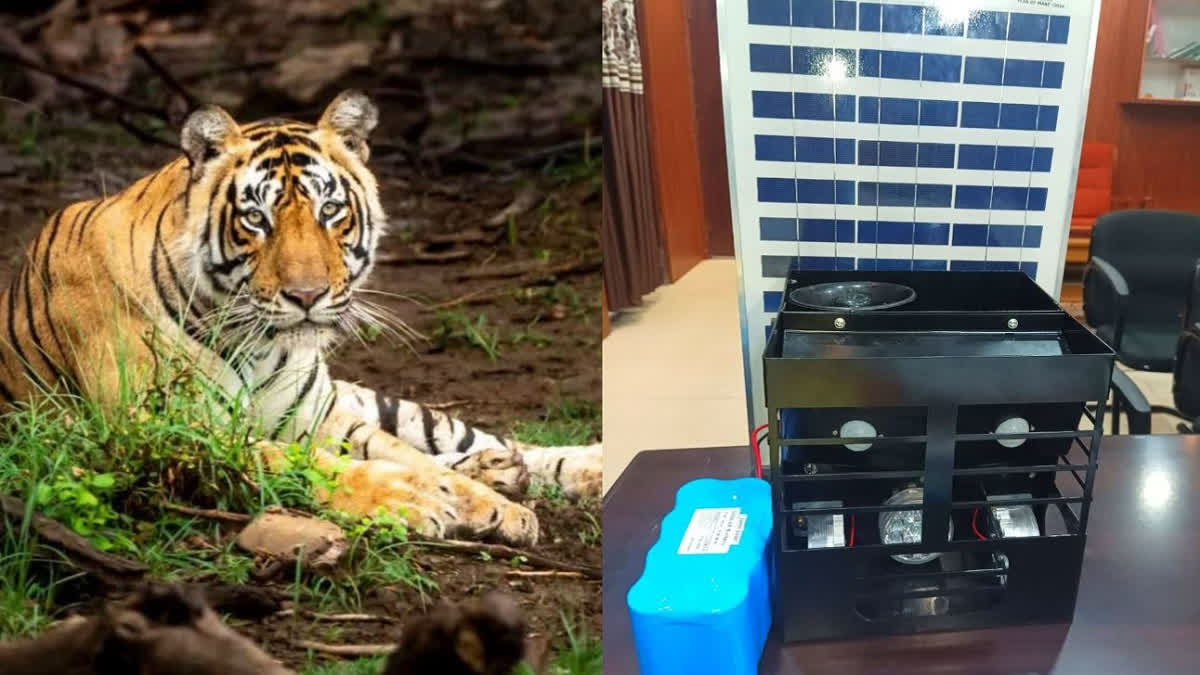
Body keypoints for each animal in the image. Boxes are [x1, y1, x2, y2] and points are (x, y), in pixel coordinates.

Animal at [0, 90, 601, 547]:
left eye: (329, 211)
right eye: (255, 219)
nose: (307, 295)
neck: (257, 341)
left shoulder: (318, 415)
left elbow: (407, 455)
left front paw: (496, 507)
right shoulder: (169, 431)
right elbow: (309, 464)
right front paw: (414, 499)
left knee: (481, 439)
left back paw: (569, 467)